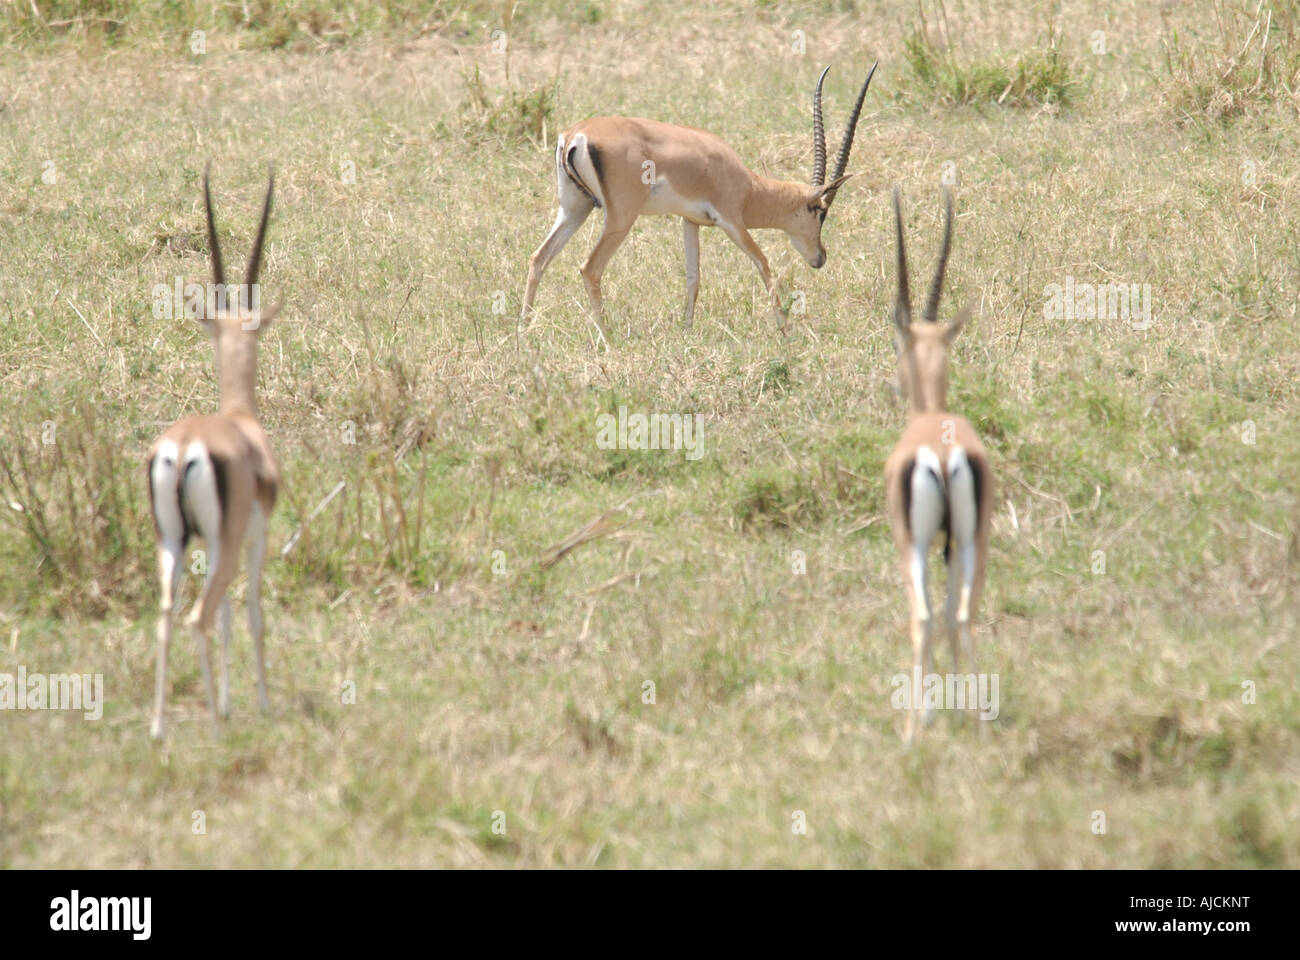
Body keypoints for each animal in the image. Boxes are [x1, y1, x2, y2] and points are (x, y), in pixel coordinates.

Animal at [521, 62, 878, 340]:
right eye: (821, 213)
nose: (820, 257)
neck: (745, 183)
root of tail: (576, 135)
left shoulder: (690, 222)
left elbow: (693, 277)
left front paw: (687, 330)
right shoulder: (731, 220)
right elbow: (763, 262)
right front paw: (785, 330)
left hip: (574, 210)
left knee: (539, 257)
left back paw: (524, 333)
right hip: (620, 218)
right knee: (590, 268)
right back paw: (608, 339)